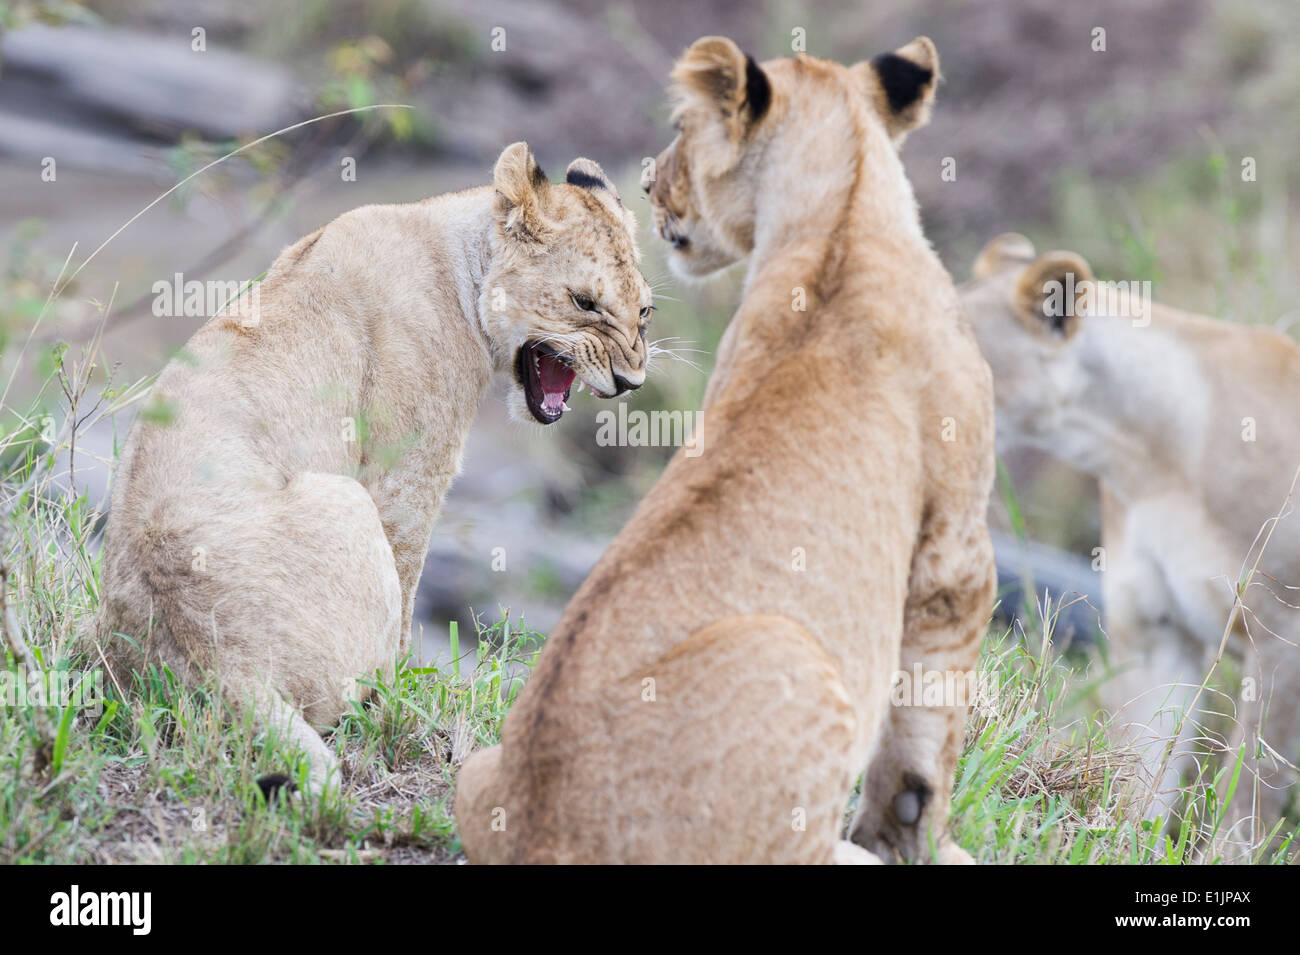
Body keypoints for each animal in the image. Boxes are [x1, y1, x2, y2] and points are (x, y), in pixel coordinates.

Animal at [93, 142, 654, 792]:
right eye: (584, 303)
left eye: (644, 312)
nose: (630, 383)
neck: (462, 262)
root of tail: (223, 668)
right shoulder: (406, 471)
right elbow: (408, 585)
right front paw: (402, 697)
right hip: (344, 500)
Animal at [455, 36, 997, 864]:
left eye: (681, 129)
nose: (647, 180)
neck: (838, 221)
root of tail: (542, 834)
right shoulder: (954, 552)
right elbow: (924, 737)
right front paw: (919, 839)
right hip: (793, 651)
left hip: (476, 771)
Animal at [962, 234, 1300, 837]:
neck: (1144, 461)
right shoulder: (1156, 633)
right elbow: (1141, 778)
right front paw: (1119, 840)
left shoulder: (1283, 636)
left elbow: (1247, 800)